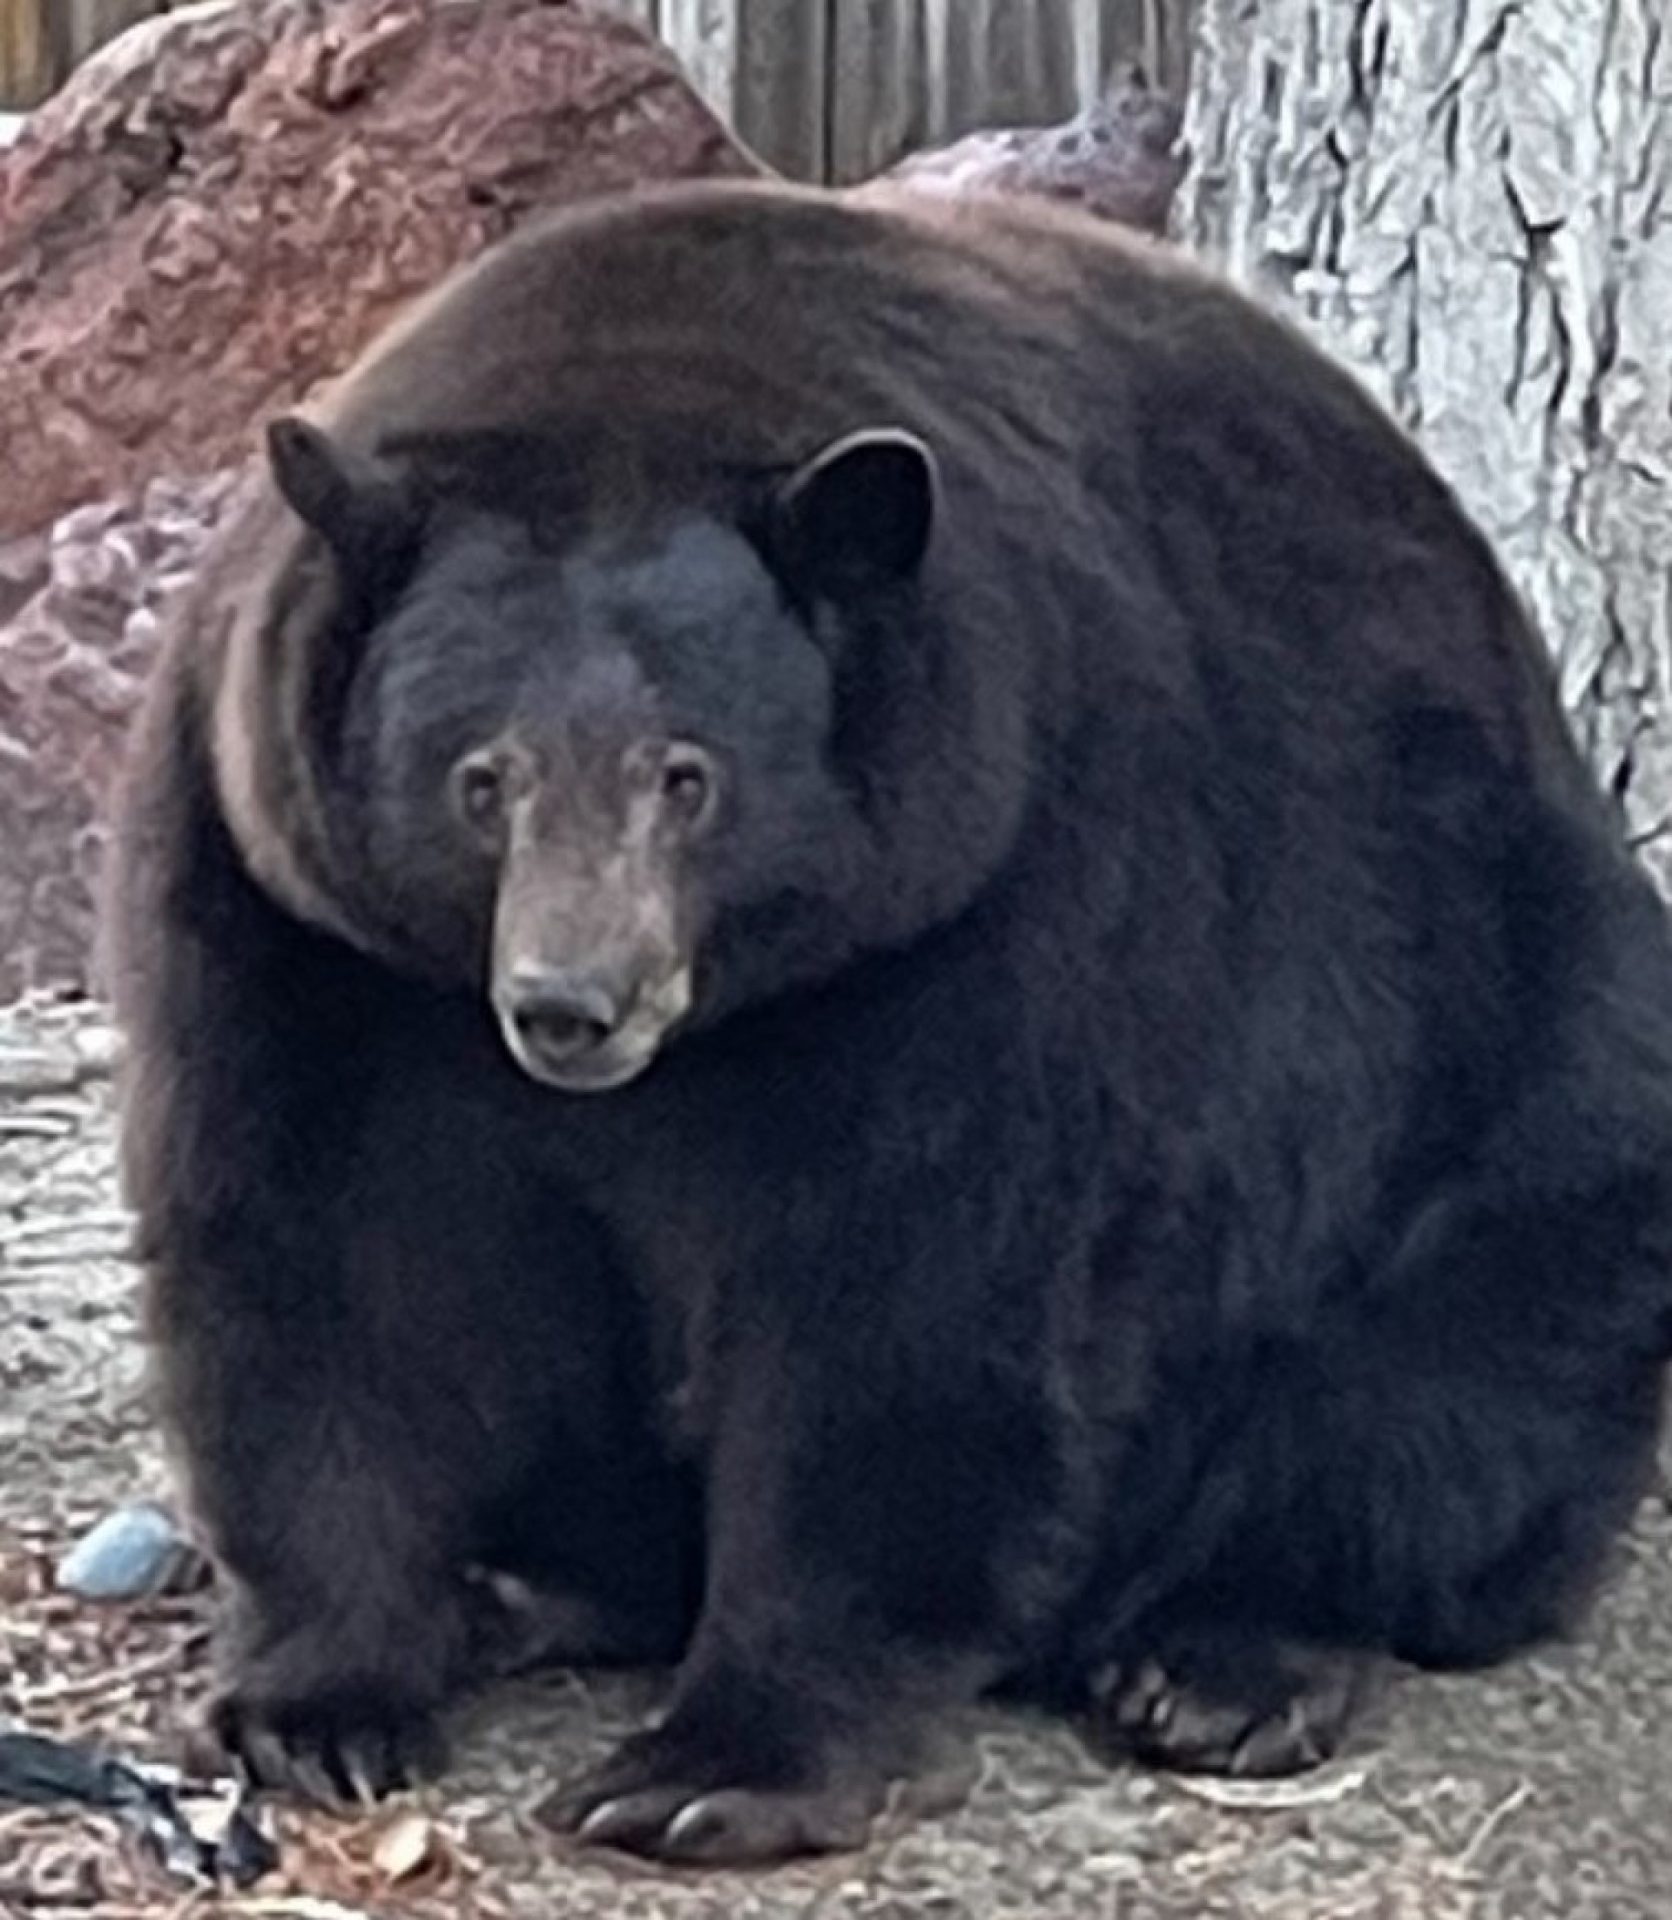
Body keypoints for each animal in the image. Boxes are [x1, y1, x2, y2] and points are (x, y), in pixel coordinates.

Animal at [106, 176, 1672, 1866]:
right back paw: (528, 1587)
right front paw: (320, 1703)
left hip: (1508, 1050)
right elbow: (326, 1246)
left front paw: (711, 1767)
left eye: (688, 774)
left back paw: (1223, 1660)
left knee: (1451, 1370)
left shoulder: (1004, 880)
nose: (571, 1005)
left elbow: (912, 1294)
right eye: (483, 778)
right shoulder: (293, 908)